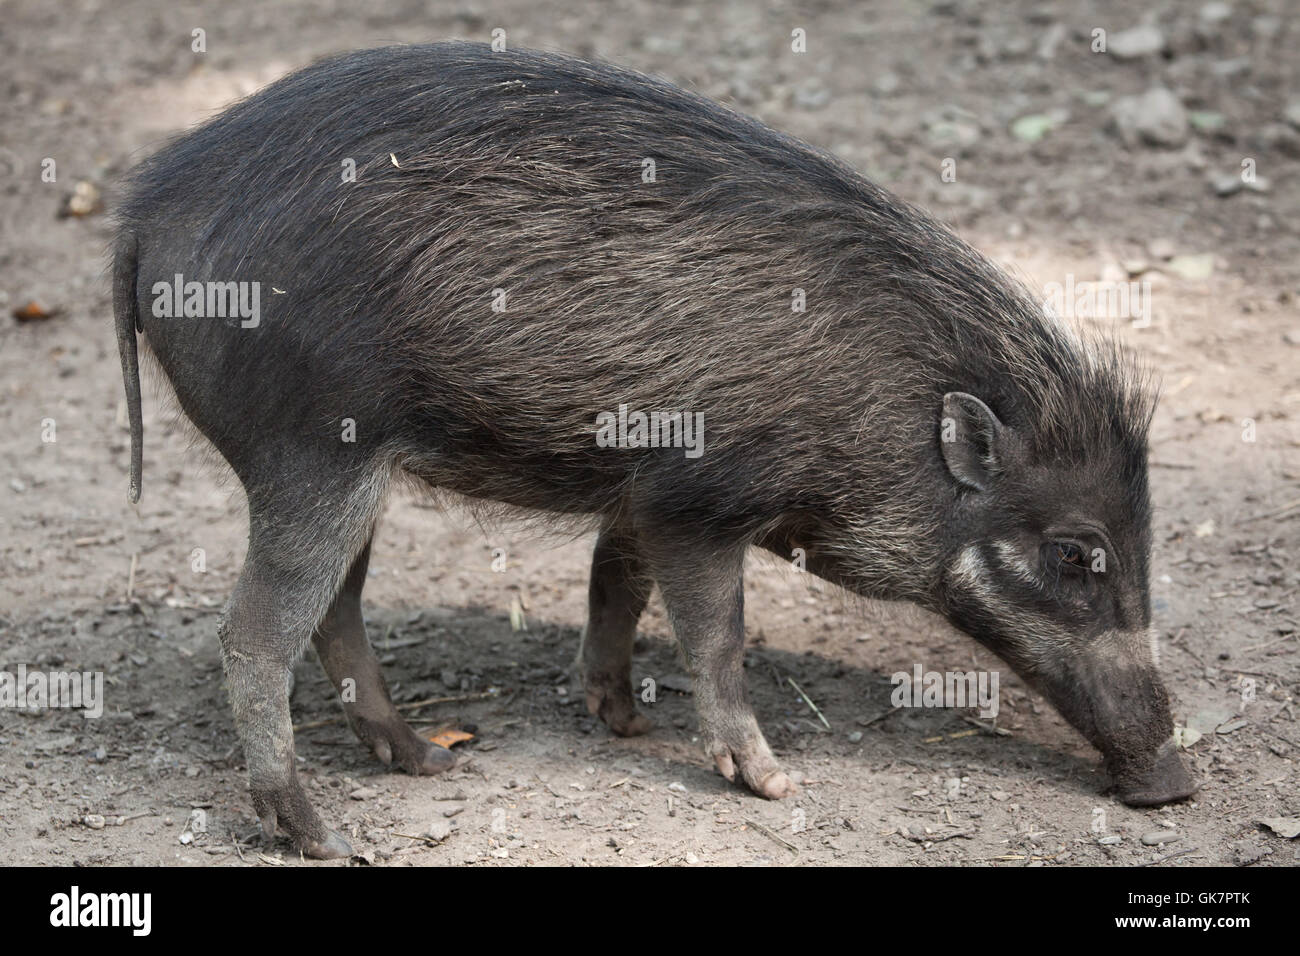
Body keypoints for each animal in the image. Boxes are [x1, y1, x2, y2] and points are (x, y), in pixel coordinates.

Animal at [113, 42, 1196, 858]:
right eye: (1076, 553)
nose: (1176, 785)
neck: (879, 411)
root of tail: (144, 206)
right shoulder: (699, 500)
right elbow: (715, 637)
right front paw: (772, 782)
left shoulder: (638, 493)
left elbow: (614, 585)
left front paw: (620, 720)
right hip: (310, 457)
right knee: (254, 635)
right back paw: (325, 836)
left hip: (354, 472)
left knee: (336, 613)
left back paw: (429, 759)